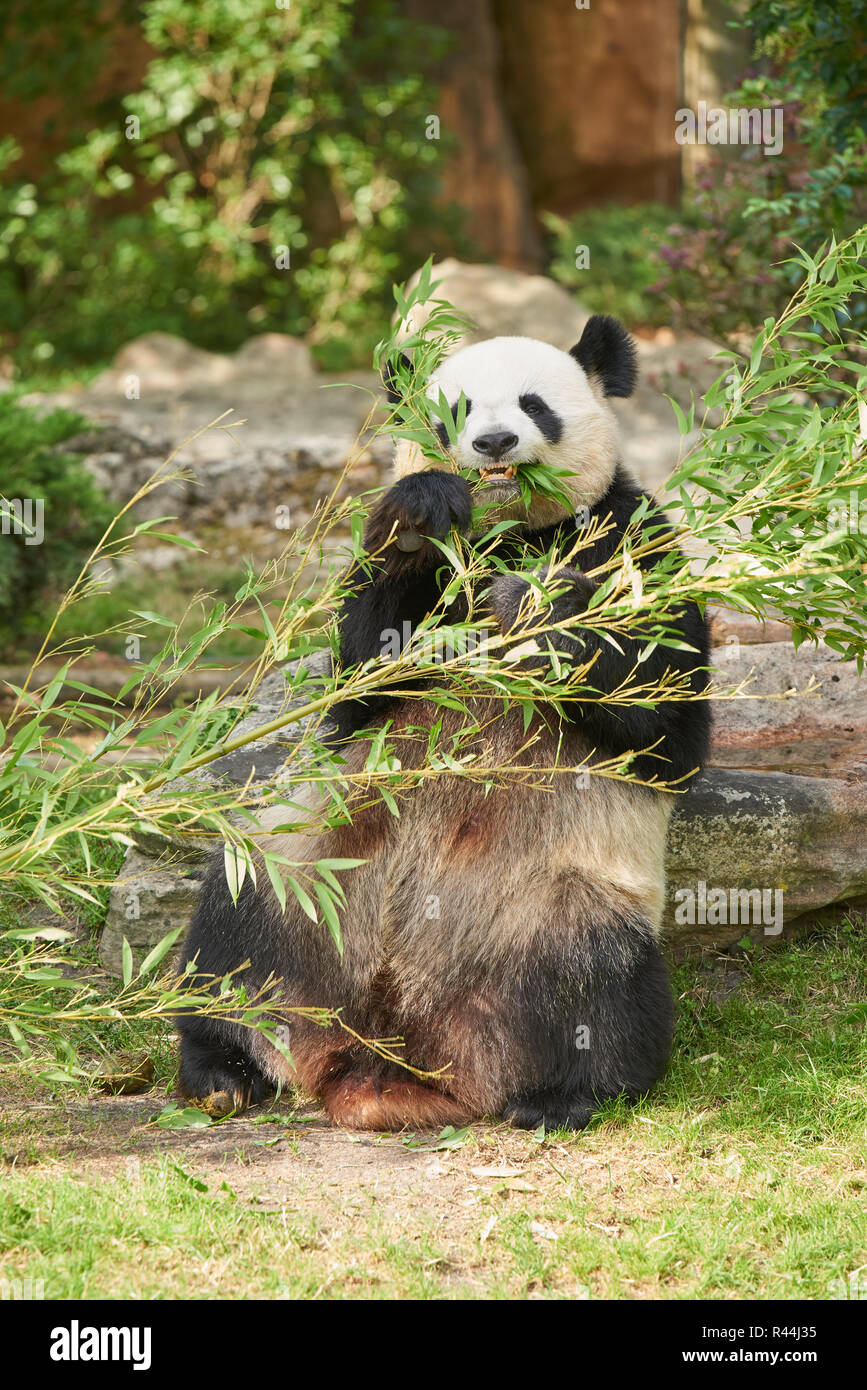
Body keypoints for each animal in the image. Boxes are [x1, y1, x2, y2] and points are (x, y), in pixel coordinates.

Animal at [177, 315, 711, 1131]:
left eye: (532, 404)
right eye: (453, 412)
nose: (492, 443)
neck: (508, 533)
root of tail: (389, 1052)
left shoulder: (632, 540)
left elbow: (671, 722)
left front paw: (538, 609)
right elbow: (359, 677)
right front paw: (422, 512)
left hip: (547, 906)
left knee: (598, 986)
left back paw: (558, 1096)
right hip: (309, 874)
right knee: (234, 934)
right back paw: (222, 1069)